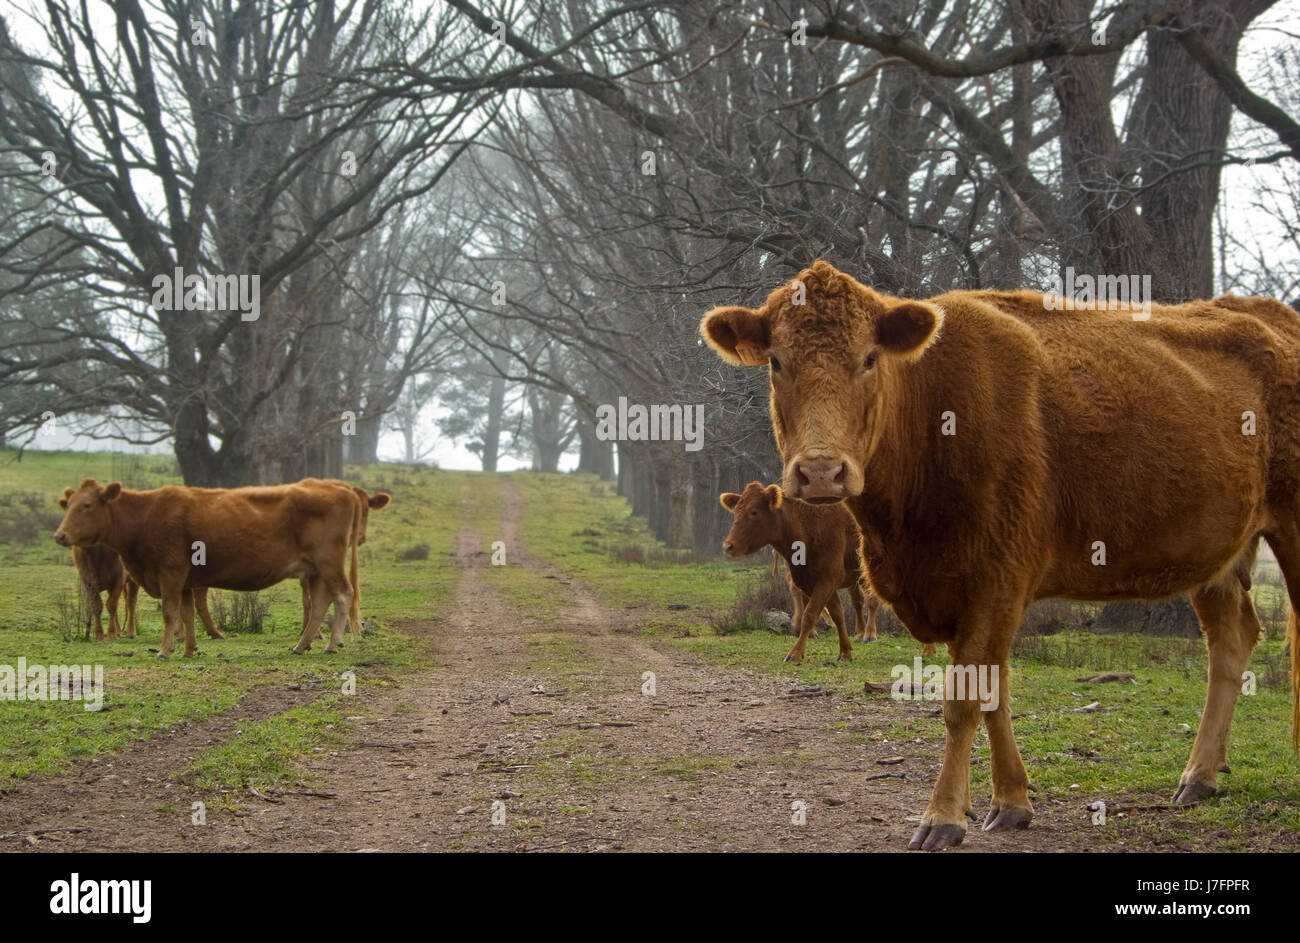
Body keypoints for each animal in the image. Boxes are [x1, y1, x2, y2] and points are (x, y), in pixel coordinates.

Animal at [54, 478, 358, 657]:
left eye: (87, 505)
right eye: (67, 505)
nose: (60, 535)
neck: (146, 515)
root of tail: (340, 488)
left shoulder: (171, 573)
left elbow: (170, 613)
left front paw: (165, 650)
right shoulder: (186, 581)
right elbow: (187, 615)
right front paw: (189, 649)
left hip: (329, 564)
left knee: (343, 595)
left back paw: (332, 644)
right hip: (315, 571)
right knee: (320, 604)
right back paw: (301, 645)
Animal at [721, 482, 935, 660]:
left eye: (754, 512)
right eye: (736, 511)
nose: (728, 546)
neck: (806, 523)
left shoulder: (827, 579)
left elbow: (810, 615)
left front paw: (795, 653)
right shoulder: (815, 581)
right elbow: (837, 614)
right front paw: (845, 652)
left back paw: (926, 648)